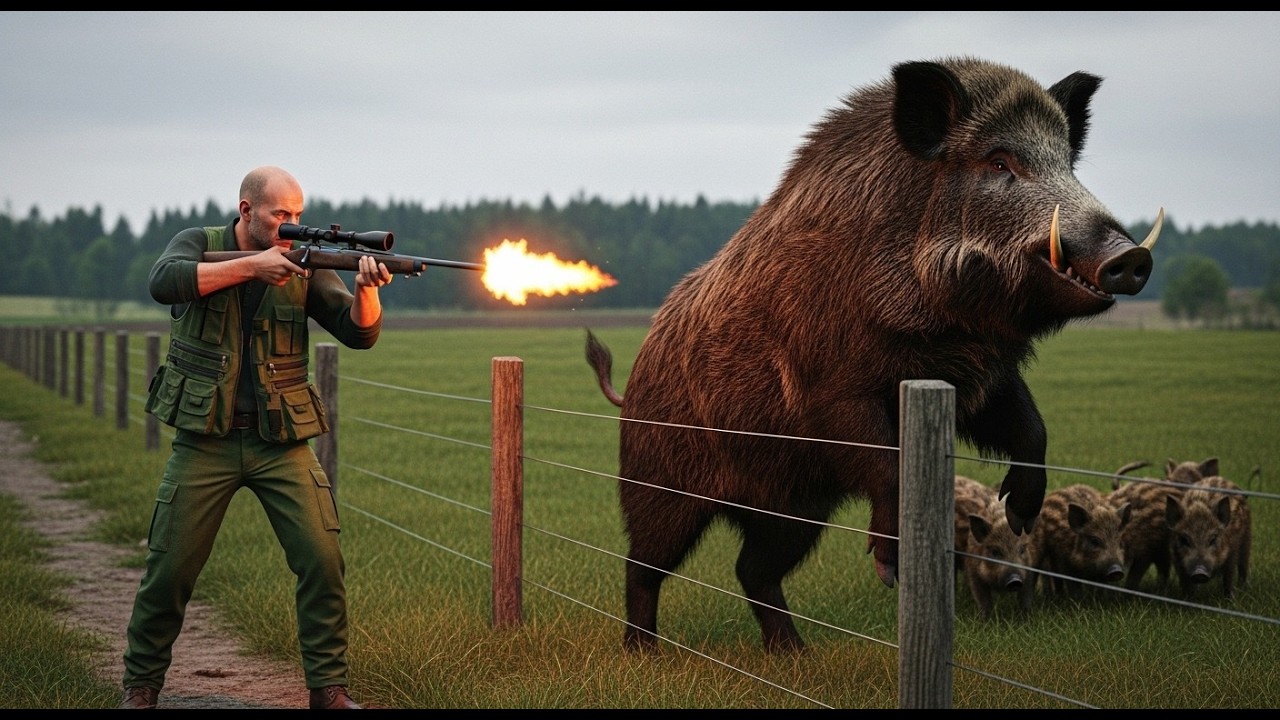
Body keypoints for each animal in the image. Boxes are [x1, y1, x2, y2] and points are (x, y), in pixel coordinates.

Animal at [954, 476, 1036, 619]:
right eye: (995, 551)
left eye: (1022, 549)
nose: (1015, 579)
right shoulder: (973, 571)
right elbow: (983, 599)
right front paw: (985, 620)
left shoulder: (1028, 569)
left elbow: (1025, 597)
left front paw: (1026, 619)